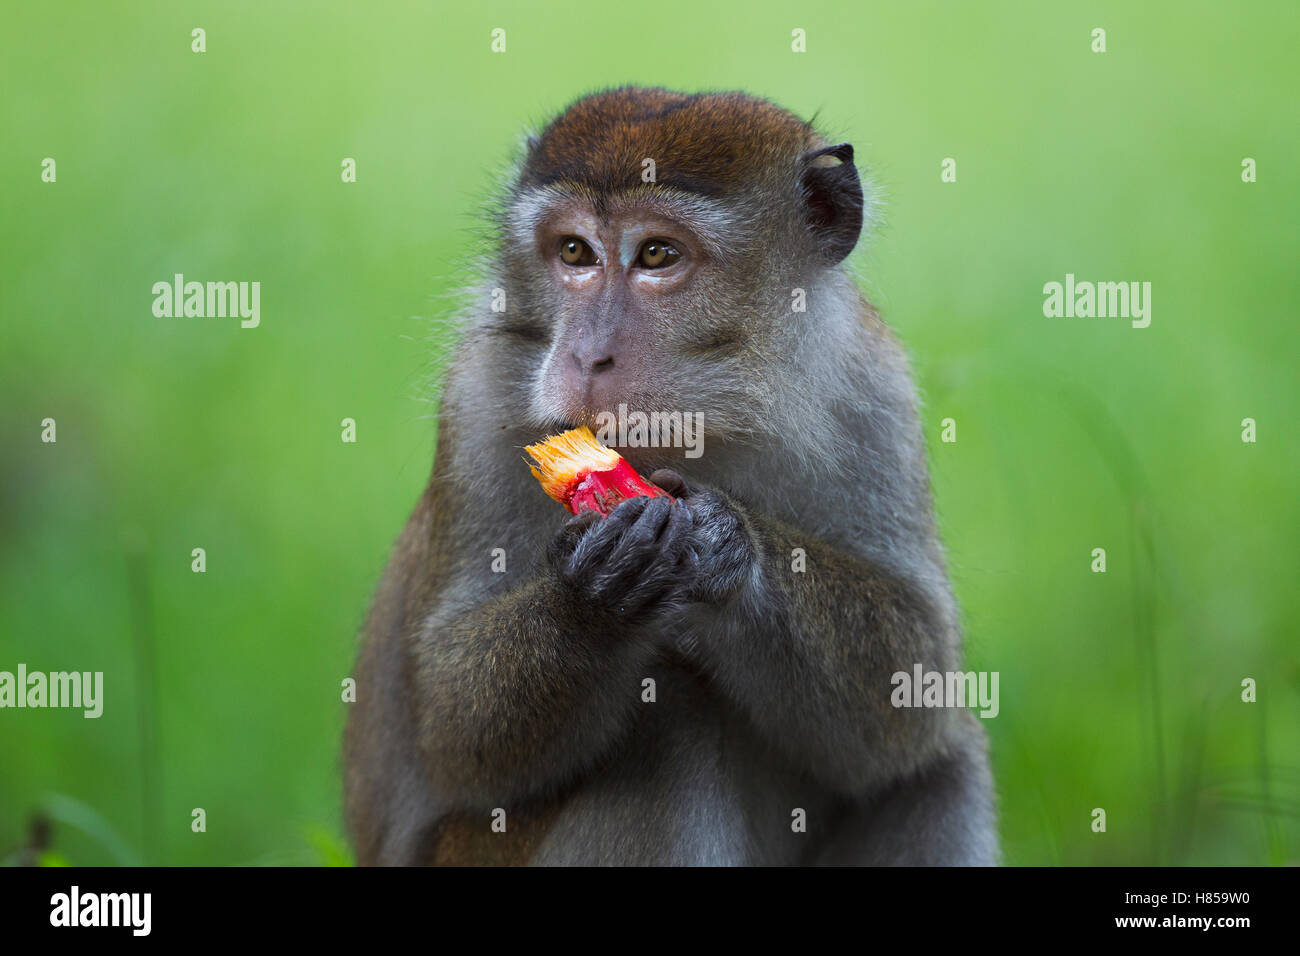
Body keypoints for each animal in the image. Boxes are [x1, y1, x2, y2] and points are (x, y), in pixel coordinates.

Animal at [343, 86, 998, 866]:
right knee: (671, 723)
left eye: (657, 254)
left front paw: (726, 544)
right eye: (574, 252)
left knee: (942, 763)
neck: (698, 422)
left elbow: (913, 685)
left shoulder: (872, 385)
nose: (587, 355)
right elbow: (451, 719)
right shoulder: (477, 395)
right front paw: (592, 600)